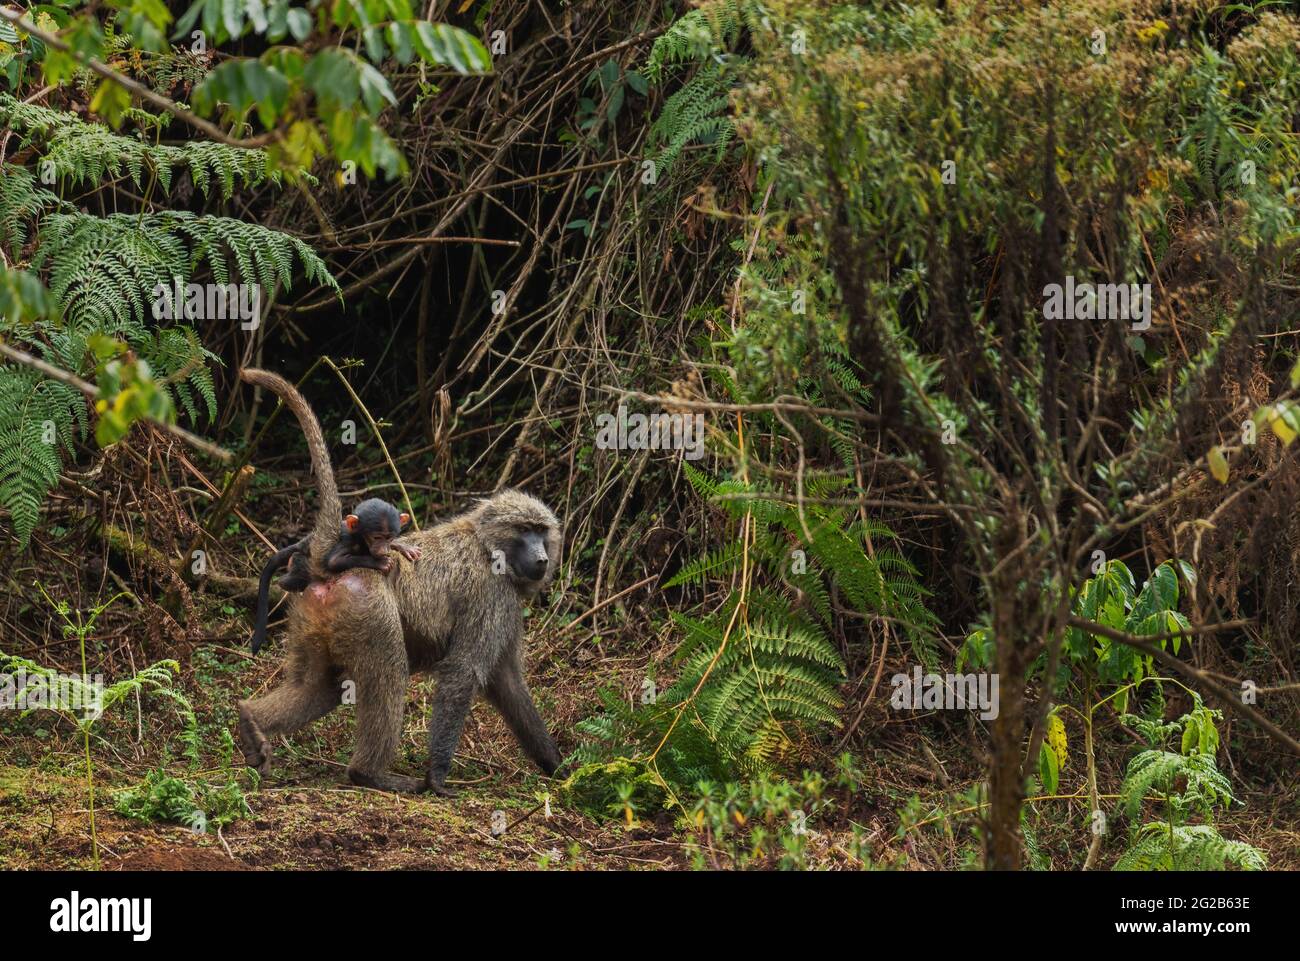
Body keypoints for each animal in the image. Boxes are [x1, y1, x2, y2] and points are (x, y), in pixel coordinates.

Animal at [249, 498, 422, 655]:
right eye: (376, 537)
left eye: (389, 537)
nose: (383, 548)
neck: (361, 540)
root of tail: (302, 542)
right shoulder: (348, 540)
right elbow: (334, 561)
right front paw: (380, 562)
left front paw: (403, 547)